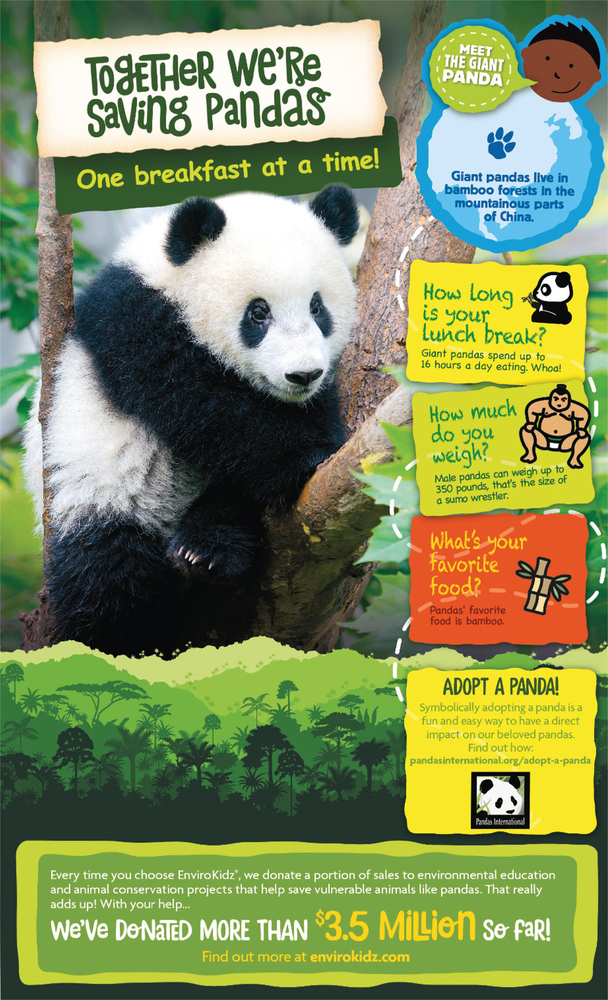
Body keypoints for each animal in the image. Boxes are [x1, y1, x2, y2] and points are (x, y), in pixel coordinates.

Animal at [24, 185, 359, 657]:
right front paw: (305, 457)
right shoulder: (134, 321)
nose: (303, 374)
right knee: (108, 578)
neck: (171, 280)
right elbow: (201, 403)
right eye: (258, 313)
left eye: (317, 307)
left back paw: (207, 549)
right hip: (104, 497)